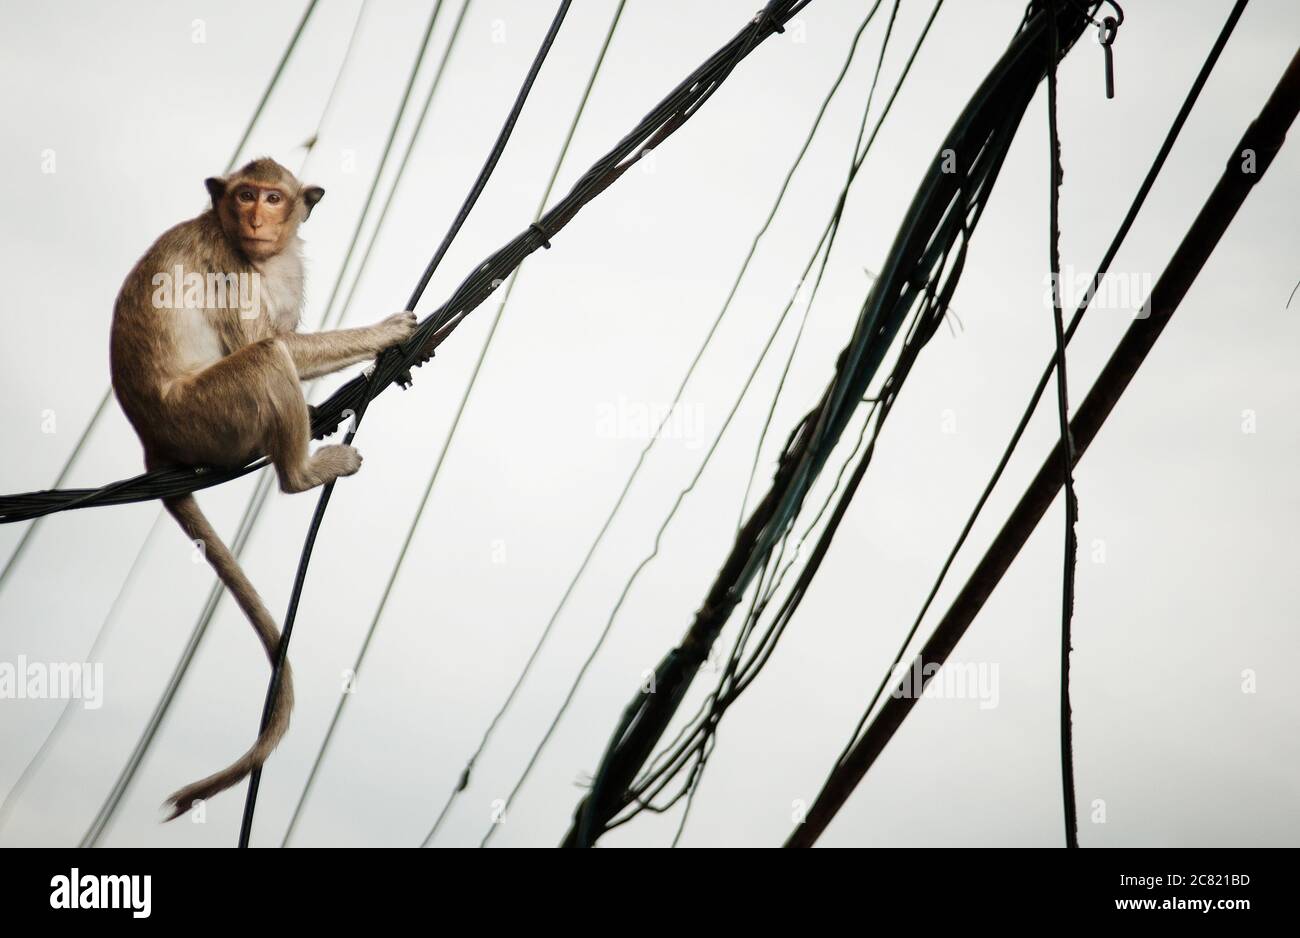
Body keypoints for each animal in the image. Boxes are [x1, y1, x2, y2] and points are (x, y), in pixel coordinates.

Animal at [110, 157, 417, 819]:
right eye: (246, 195)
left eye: (274, 198)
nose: (255, 218)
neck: (262, 255)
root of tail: (152, 444)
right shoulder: (226, 263)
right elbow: (269, 343)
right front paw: (385, 332)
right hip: (204, 416)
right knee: (266, 356)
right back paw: (302, 474)